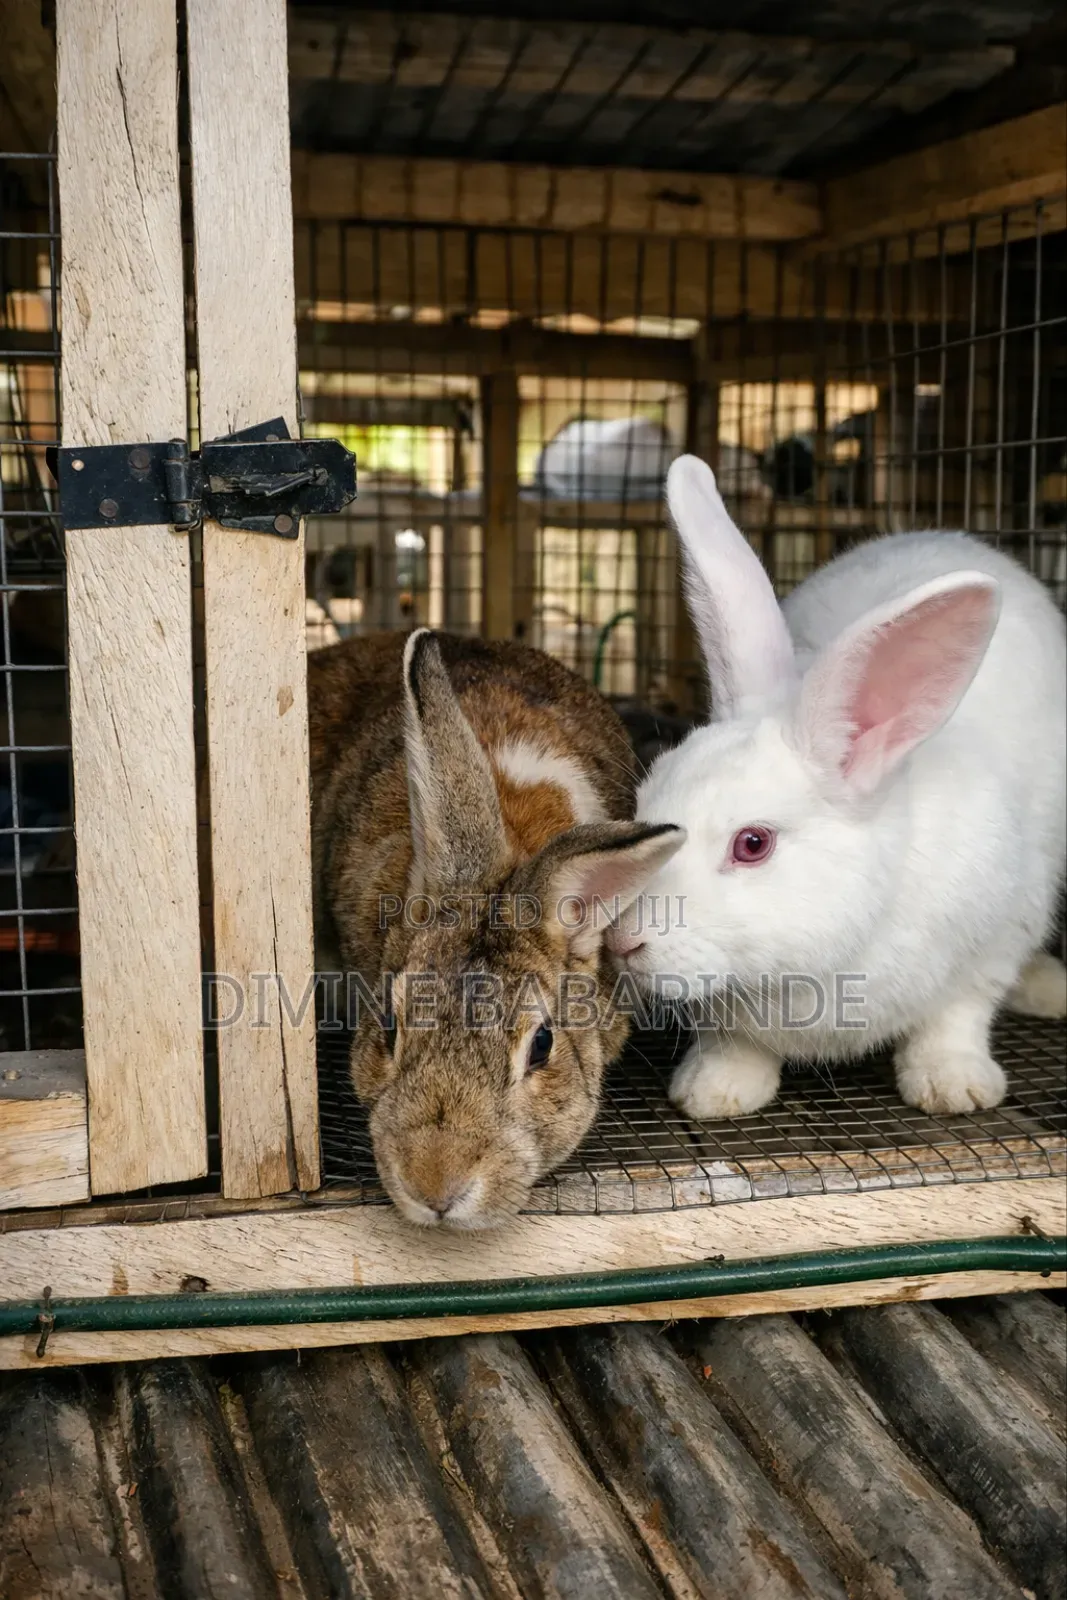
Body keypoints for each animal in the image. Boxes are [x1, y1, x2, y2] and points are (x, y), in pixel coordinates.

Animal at [608, 454, 1067, 1121]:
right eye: (648, 805)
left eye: (753, 843)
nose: (620, 938)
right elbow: (732, 1041)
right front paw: (715, 1091)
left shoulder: (999, 935)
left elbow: (958, 1014)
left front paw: (952, 1086)